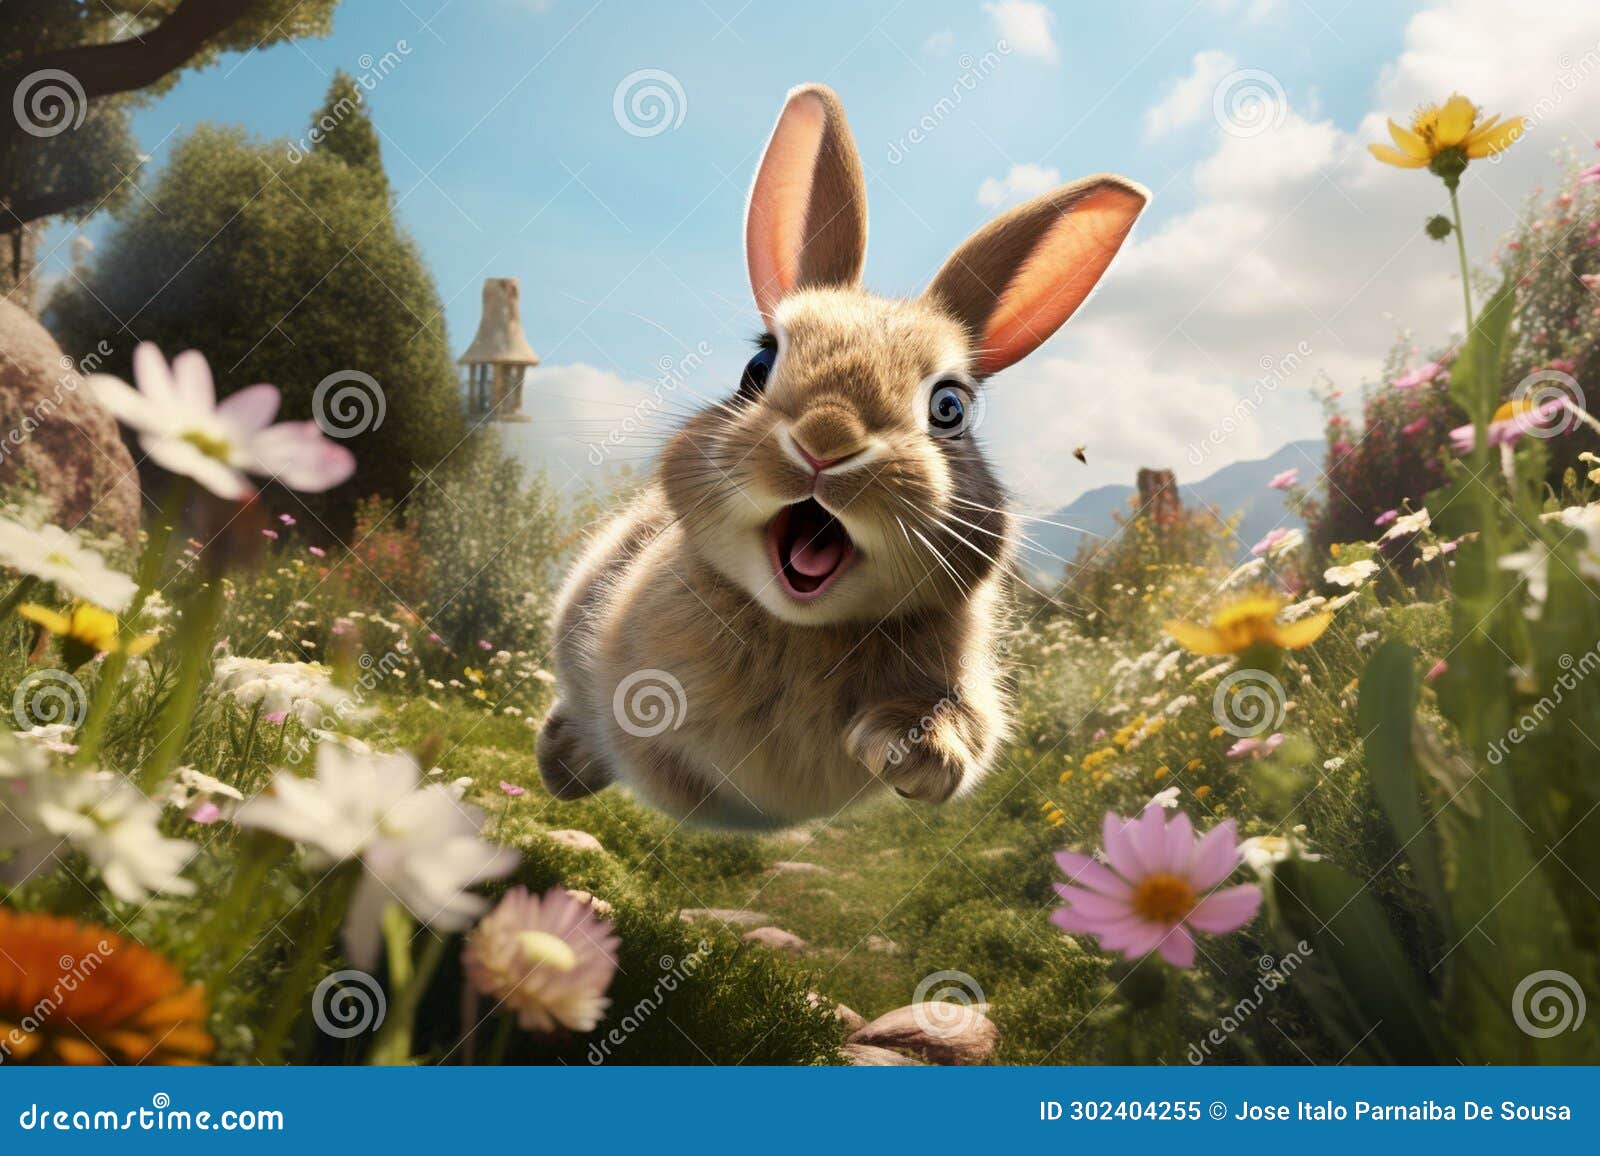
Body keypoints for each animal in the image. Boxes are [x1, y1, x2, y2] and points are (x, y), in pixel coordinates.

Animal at [537, 83, 1147, 828]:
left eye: (950, 408)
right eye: (758, 366)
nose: (825, 442)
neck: (803, 624)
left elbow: (962, 733)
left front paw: (895, 746)